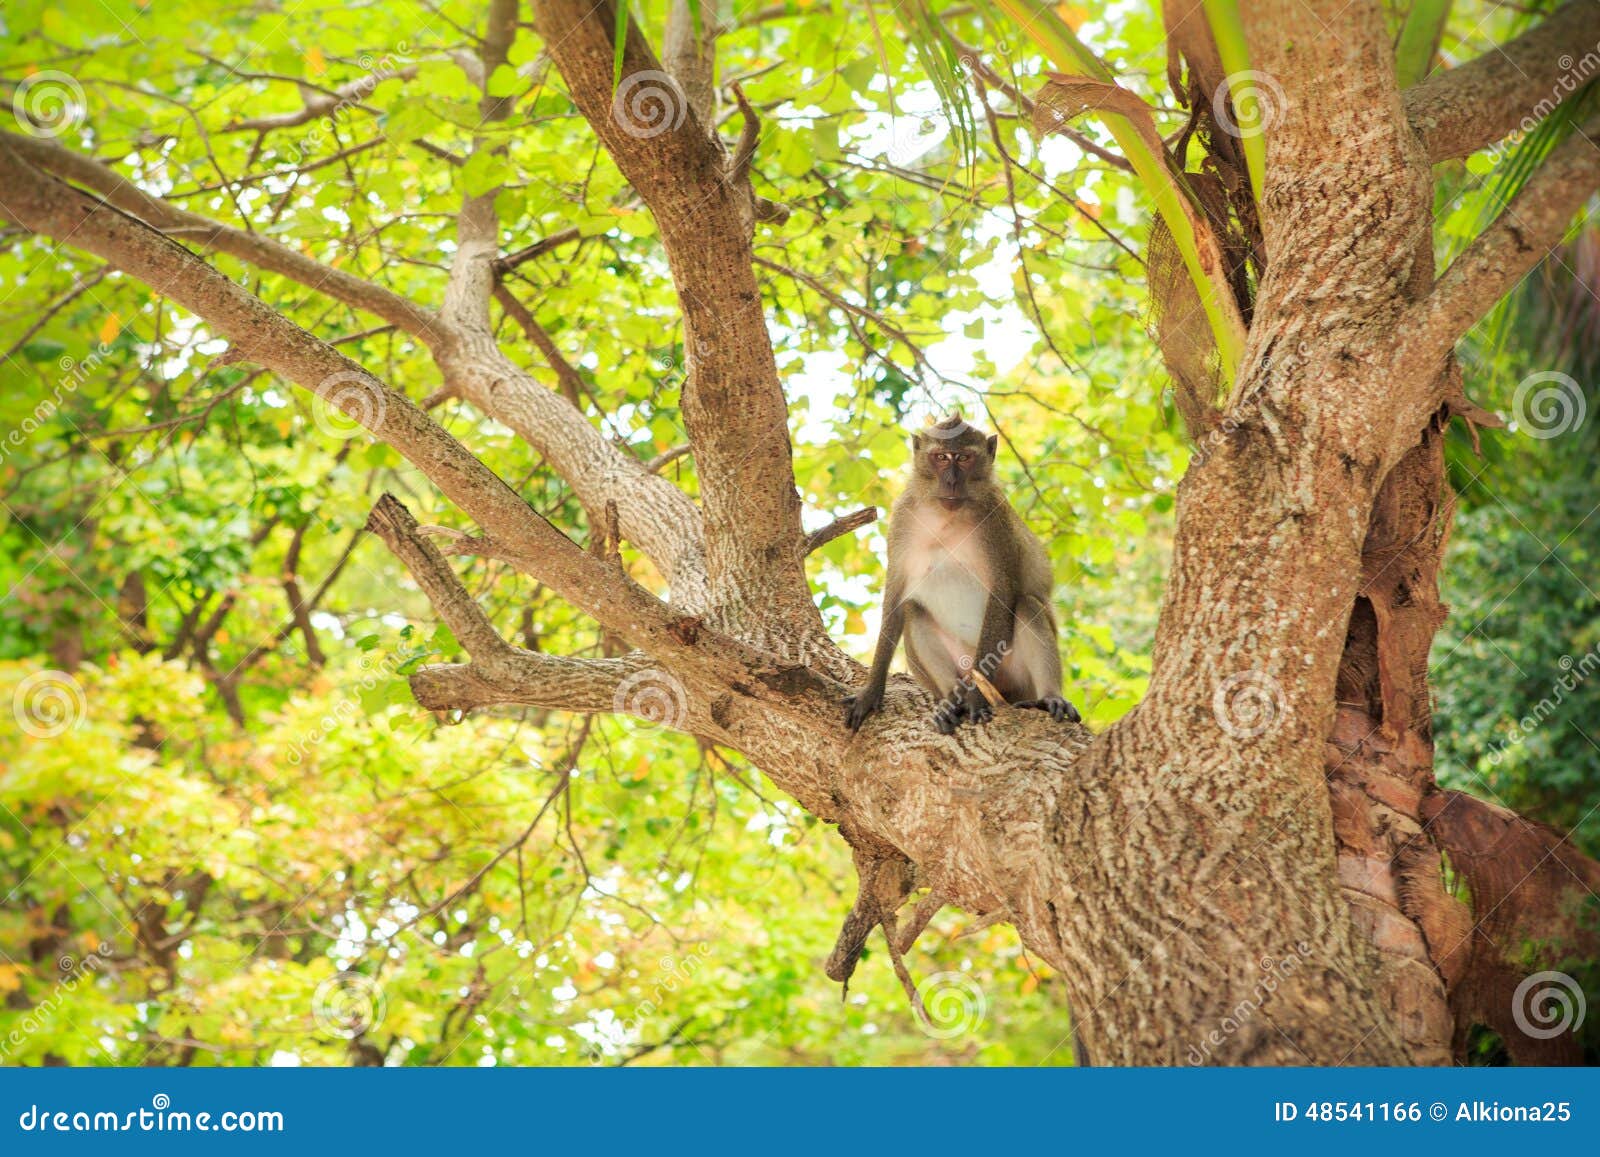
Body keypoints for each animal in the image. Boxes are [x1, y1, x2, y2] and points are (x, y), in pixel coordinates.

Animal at [844, 416, 1081, 735]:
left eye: (965, 458)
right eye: (942, 457)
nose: (952, 481)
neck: (947, 516)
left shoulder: (995, 520)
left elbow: (1003, 592)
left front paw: (977, 699)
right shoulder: (903, 517)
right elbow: (896, 597)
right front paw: (871, 690)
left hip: (1011, 676)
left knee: (1026, 604)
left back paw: (1048, 697)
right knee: (913, 609)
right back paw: (951, 699)